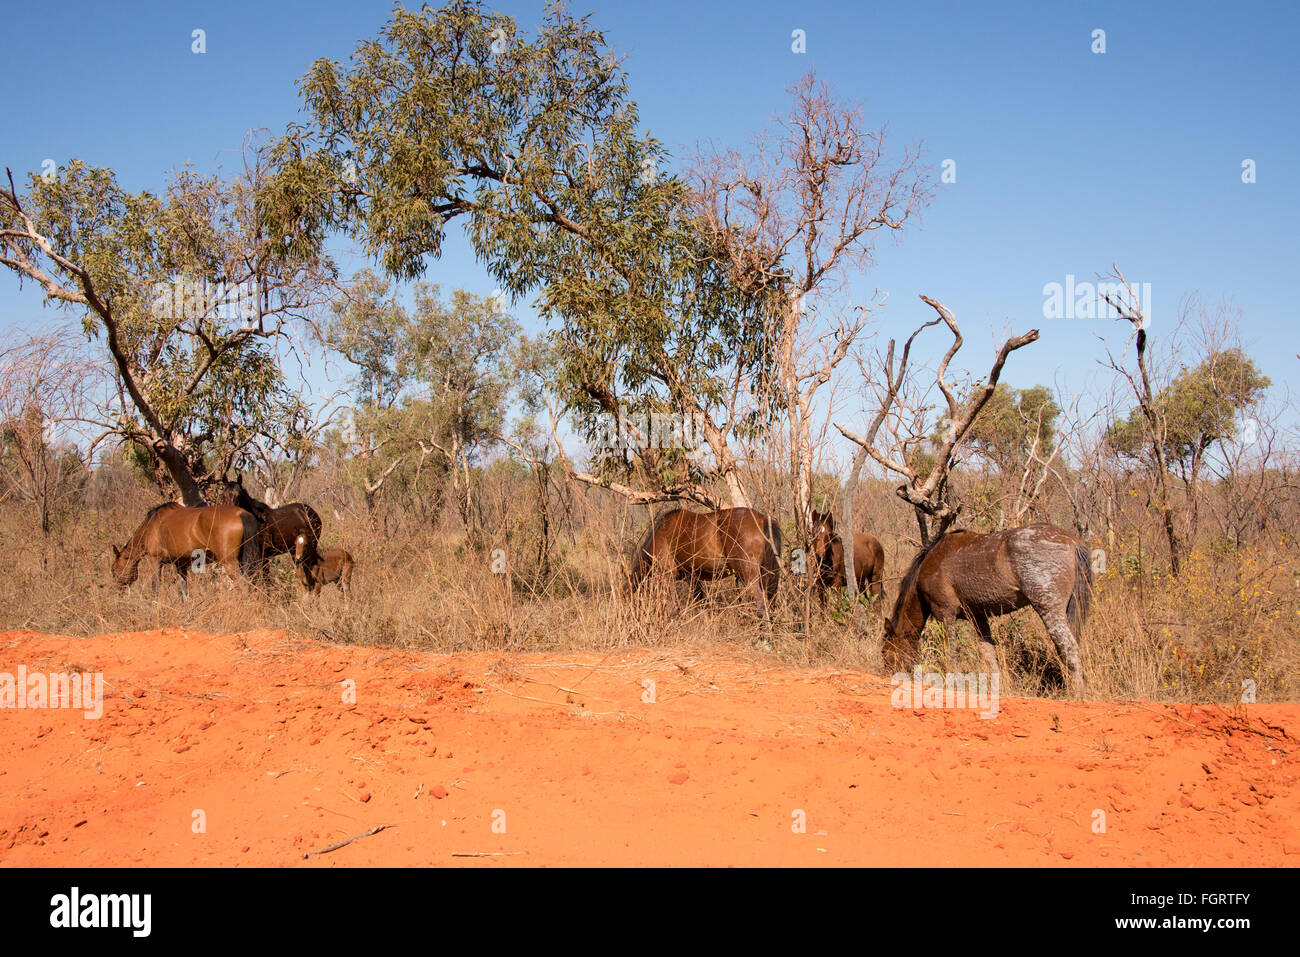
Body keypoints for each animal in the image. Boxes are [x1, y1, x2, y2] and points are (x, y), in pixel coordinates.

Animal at [111, 502, 259, 596]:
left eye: (114, 570)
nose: (118, 591)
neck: (152, 526)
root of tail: (241, 513)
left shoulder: (155, 561)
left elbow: (155, 587)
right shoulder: (181, 565)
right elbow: (183, 591)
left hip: (230, 563)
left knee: (243, 587)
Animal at [628, 507, 782, 623]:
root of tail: (762, 519)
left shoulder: (667, 575)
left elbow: (672, 608)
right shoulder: (692, 579)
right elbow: (702, 604)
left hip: (749, 577)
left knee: (761, 606)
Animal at [882, 523, 1092, 697]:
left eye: (885, 652)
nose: (889, 676)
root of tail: (1072, 541)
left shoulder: (945, 614)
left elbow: (952, 653)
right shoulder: (978, 617)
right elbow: (990, 656)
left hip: (1049, 610)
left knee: (1070, 649)